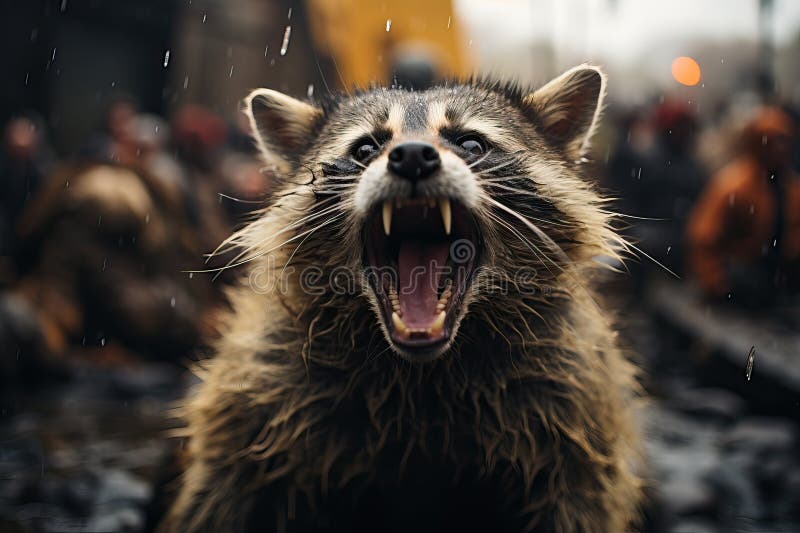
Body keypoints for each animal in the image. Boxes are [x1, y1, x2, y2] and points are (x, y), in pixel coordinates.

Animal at [161, 65, 643, 533]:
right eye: (365, 148)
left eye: (470, 143)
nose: (412, 155)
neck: (424, 374)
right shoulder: (260, 395)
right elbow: (225, 492)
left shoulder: (570, 410)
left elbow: (577, 499)